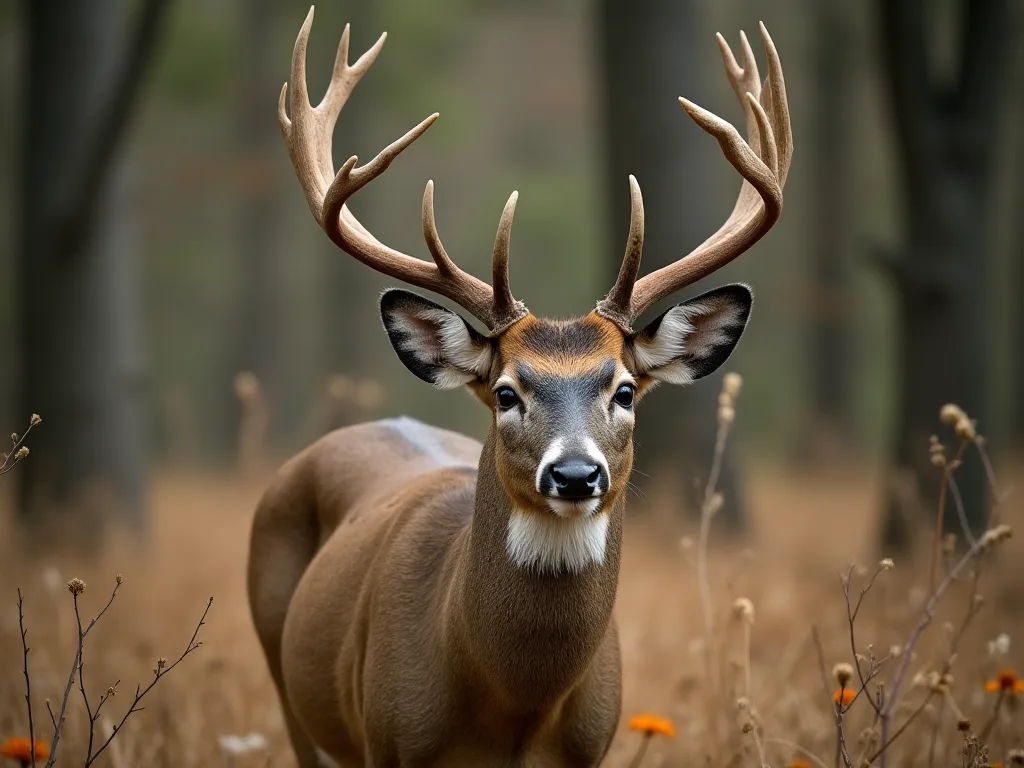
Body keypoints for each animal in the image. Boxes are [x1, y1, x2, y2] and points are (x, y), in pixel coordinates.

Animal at [248, 7, 791, 767]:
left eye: (625, 389)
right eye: (507, 392)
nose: (574, 474)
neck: (513, 710)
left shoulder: (592, 747)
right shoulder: (387, 737)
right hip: (292, 688)